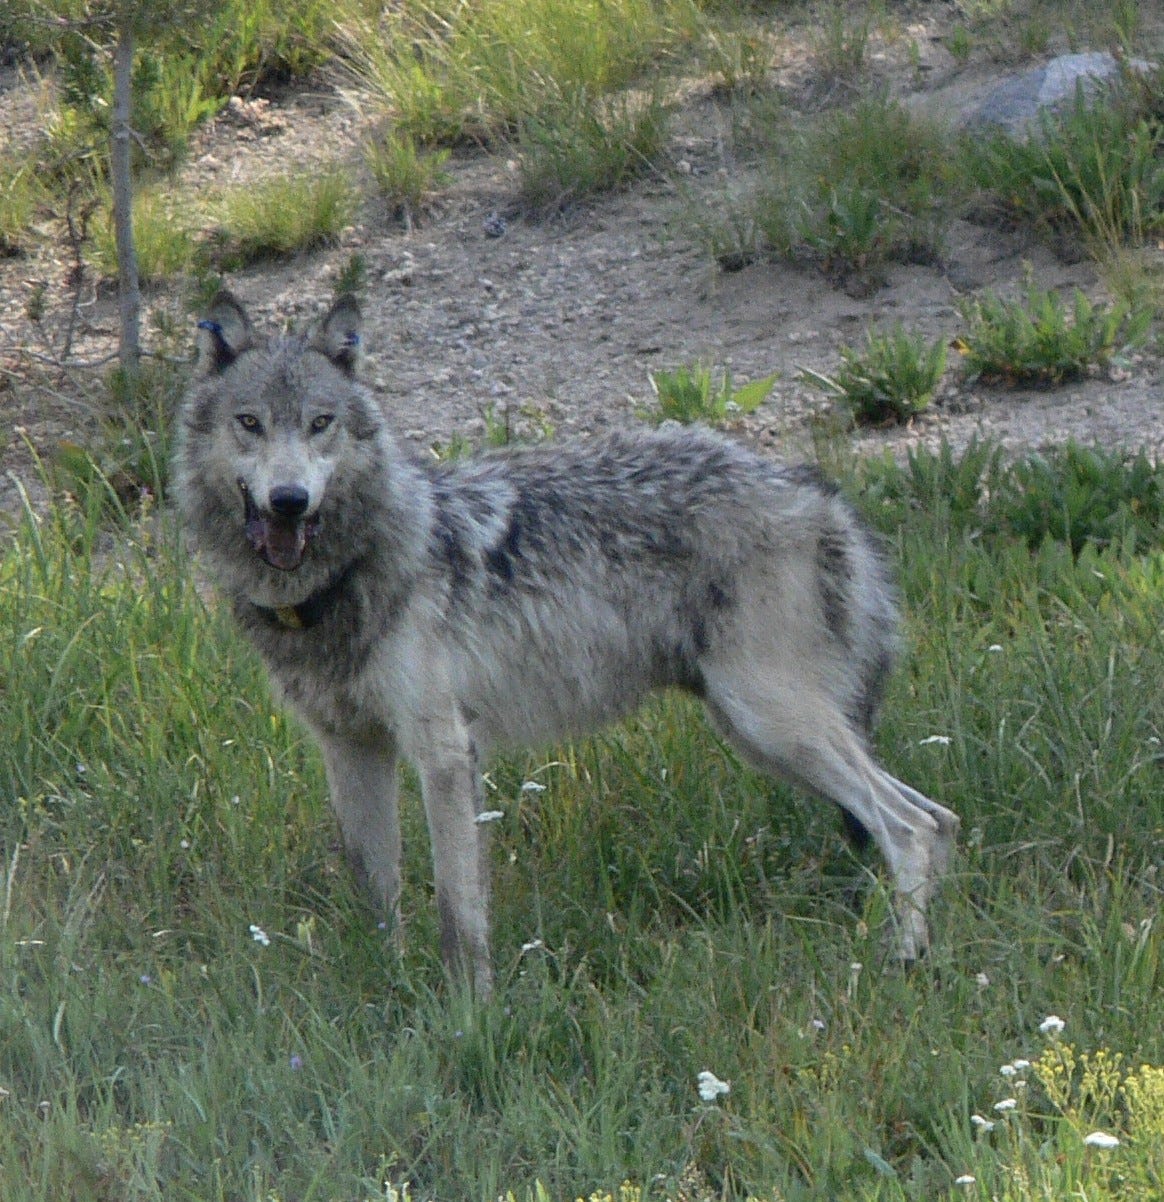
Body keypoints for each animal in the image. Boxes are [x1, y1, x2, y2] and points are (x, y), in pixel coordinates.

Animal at [174, 291, 960, 995]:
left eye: (320, 424)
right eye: (250, 424)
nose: (289, 501)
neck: (350, 573)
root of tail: (811, 486)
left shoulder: (444, 751)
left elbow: (458, 912)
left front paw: (468, 1014)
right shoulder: (351, 750)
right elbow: (379, 898)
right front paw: (390, 989)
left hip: (772, 722)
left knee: (912, 826)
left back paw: (904, 962)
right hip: (758, 735)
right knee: (939, 818)